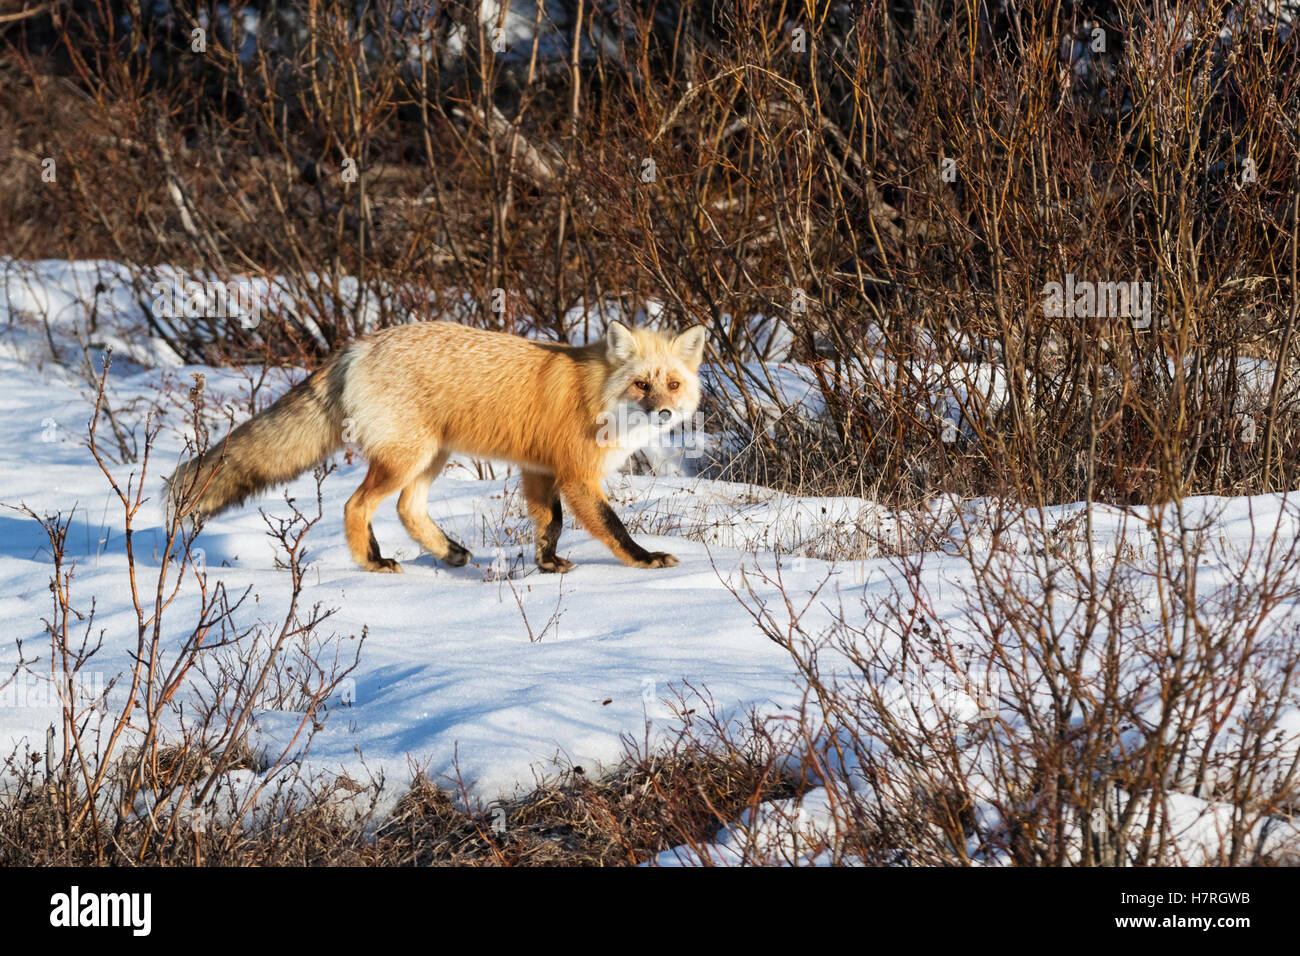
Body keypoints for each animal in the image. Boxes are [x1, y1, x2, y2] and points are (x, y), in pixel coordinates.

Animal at [167, 320, 706, 574]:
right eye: (641, 384)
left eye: (672, 385)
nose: (663, 412)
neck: (595, 393)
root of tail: (358, 345)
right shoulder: (576, 474)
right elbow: (613, 528)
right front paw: (645, 561)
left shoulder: (538, 469)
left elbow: (548, 524)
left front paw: (548, 564)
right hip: (407, 458)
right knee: (356, 505)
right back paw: (374, 562)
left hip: (431, 457)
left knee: (408, 509)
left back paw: (449, 552)